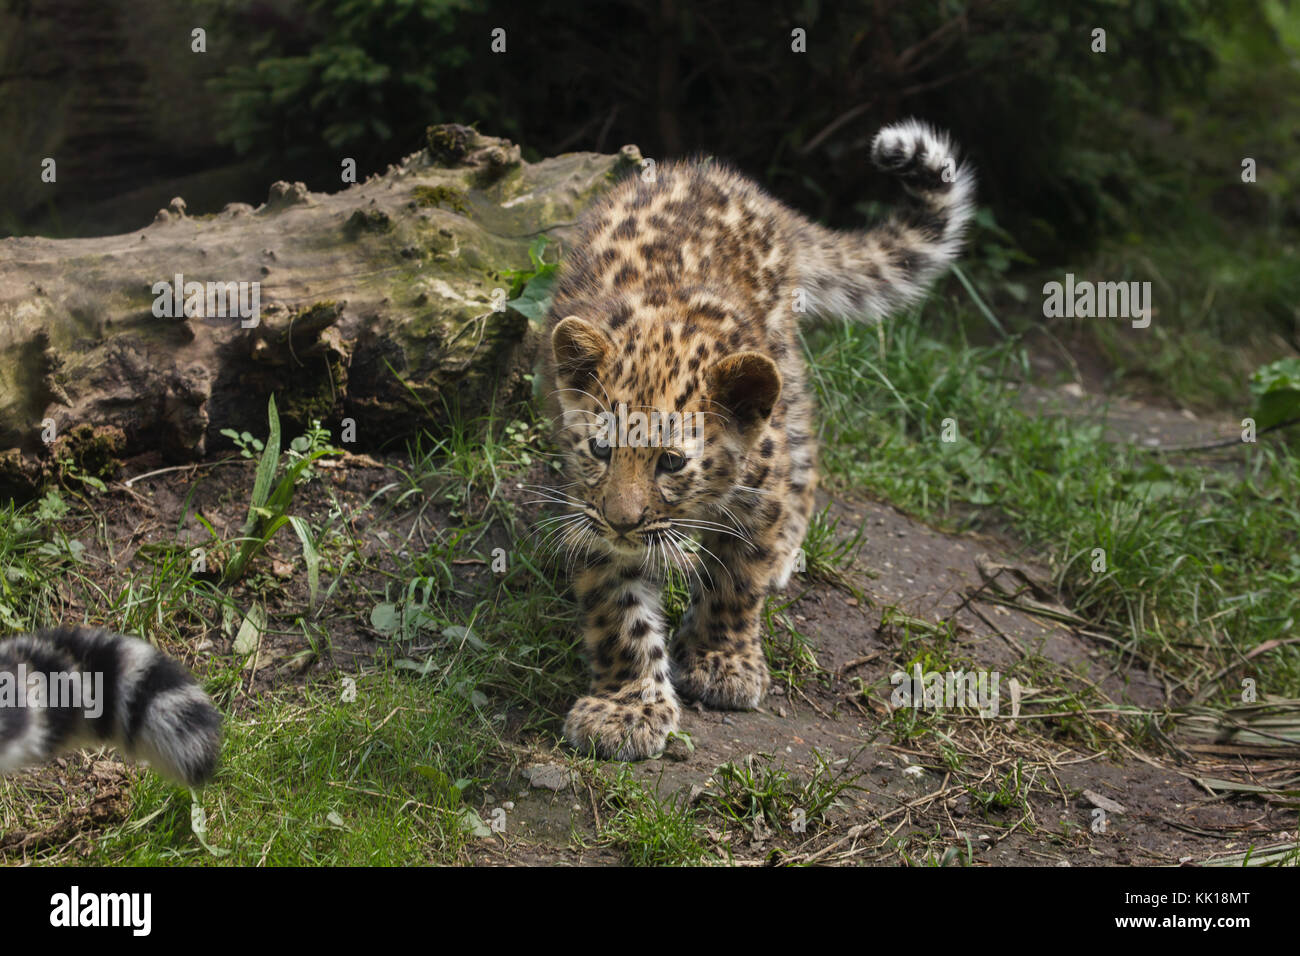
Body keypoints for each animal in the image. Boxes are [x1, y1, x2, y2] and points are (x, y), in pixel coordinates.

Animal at [537, 119, 974, 760]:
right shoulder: (589, 515)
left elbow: (736, 583)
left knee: (805, 443)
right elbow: (621, 618)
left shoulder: (758, 495)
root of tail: (727, 180)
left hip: (783, 373)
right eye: (599, 450)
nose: (623, 521)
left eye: (672, 462)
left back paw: (786, 552)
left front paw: (721, 663)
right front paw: (626, 709)